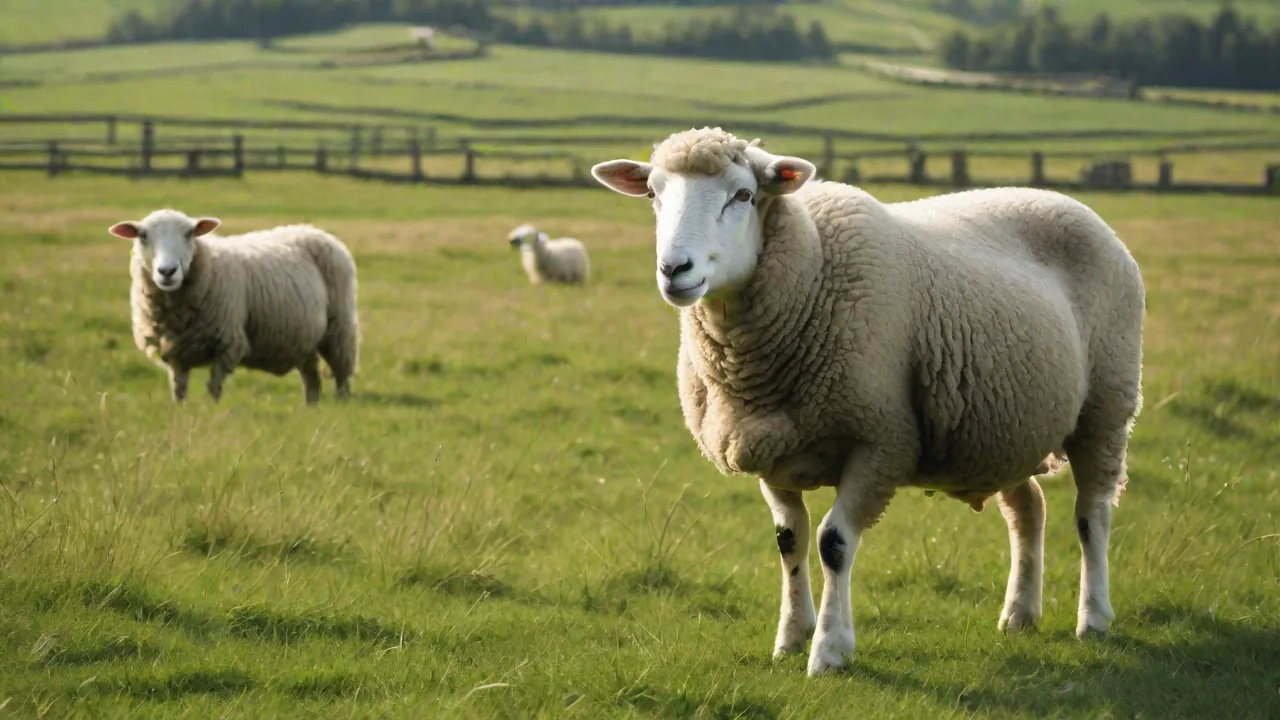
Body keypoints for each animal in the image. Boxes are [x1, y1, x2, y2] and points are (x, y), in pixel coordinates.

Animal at [109, 209, 360, 405]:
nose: (167, 271)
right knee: (312, 380)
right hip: (304, 338)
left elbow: (213, 388)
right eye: (142, 236)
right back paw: (310, 409)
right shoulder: (175, 353)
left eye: (189, 234)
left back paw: (341, 406)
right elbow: (178, 391)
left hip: (340, 328)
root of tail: (314, 230)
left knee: (342, 375)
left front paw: (211, 414)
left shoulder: (227, 344)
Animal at [590, 127, 1144, 676]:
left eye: (743, 195)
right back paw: (1019, 615)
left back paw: (1093, 617)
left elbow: (833, 543)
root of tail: (1062, 198)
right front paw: (790, 638)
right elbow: (789, 539)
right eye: (654, 194)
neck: (811, 272)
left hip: (1106, 404)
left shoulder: (882, 440)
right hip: (1003, 429)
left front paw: (829, 650)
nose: (673, 269)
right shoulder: (769, 442)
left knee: (1091, 514)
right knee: (1029, 509)